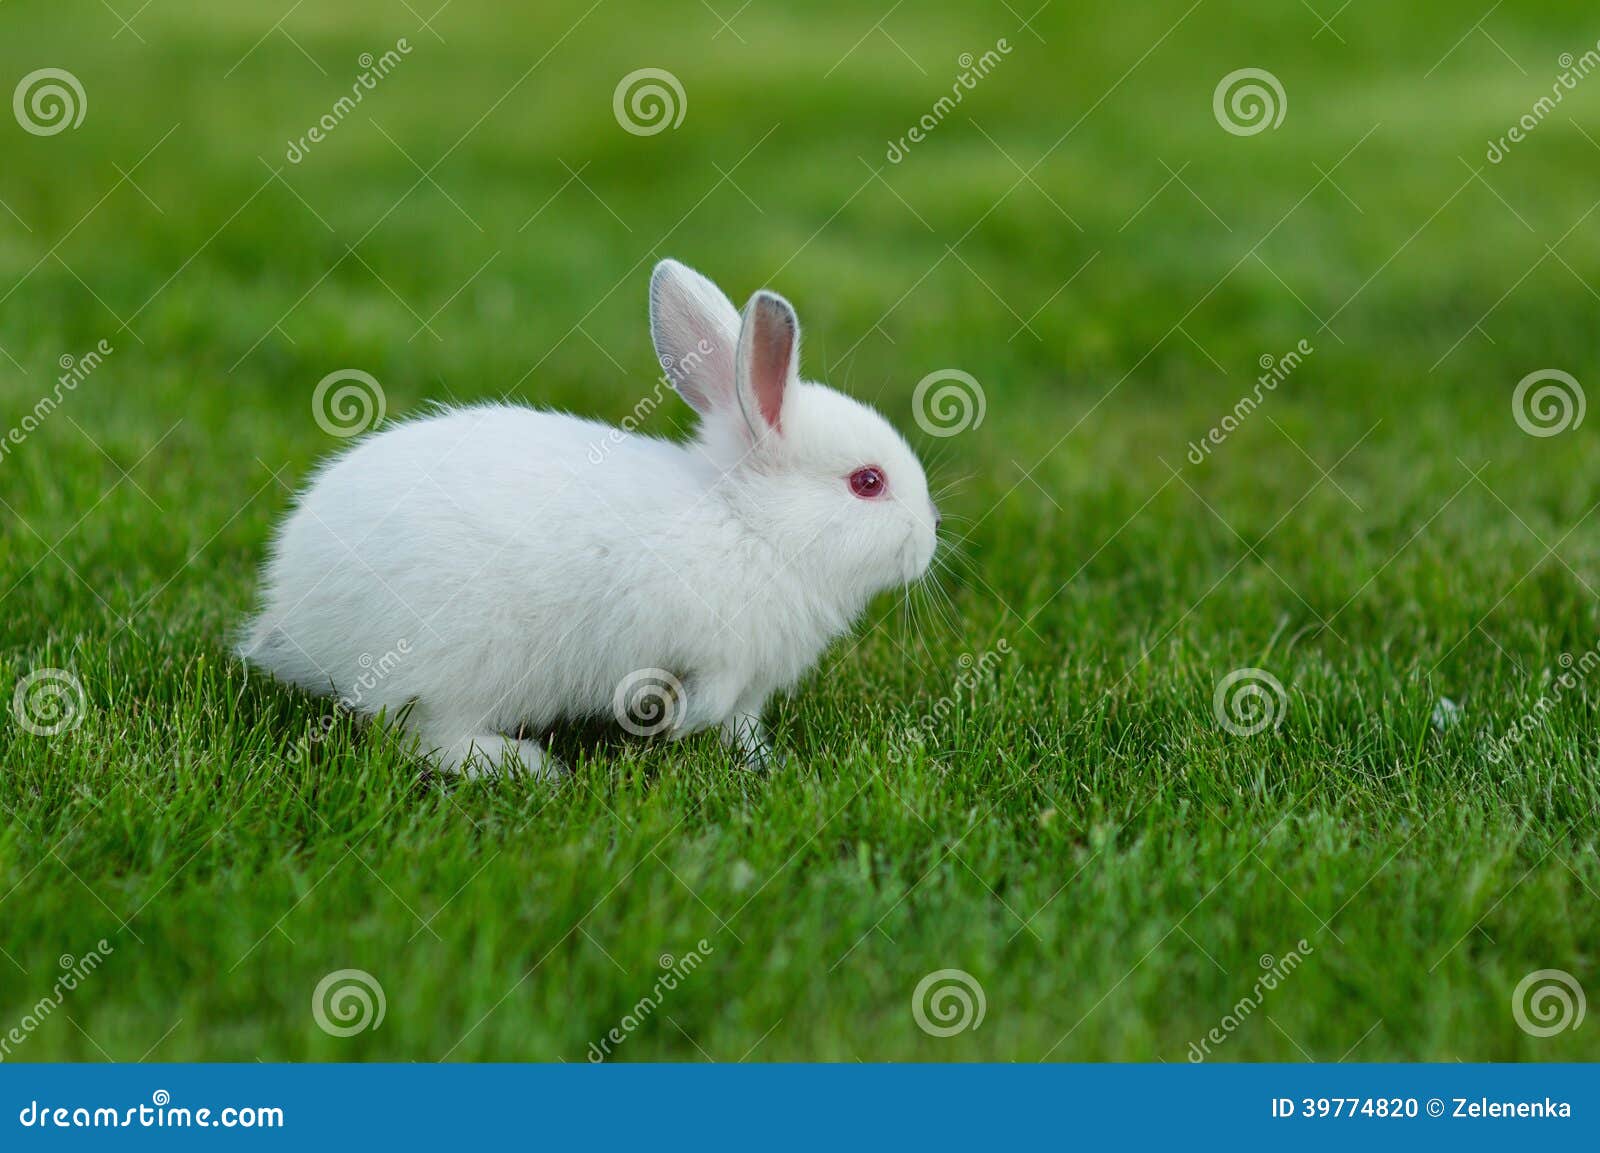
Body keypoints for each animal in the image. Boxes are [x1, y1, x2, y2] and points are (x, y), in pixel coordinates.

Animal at [239, 259, 941, 779]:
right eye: (868, 483)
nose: (930, 540)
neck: (753, 526)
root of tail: (294, 612)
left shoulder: (750, 686)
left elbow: (740, 726)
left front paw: (761, 763)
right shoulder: (719, 657)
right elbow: (706, 698)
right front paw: (671, 722)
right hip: (464, 666)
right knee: (425, 735)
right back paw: (526, 766)